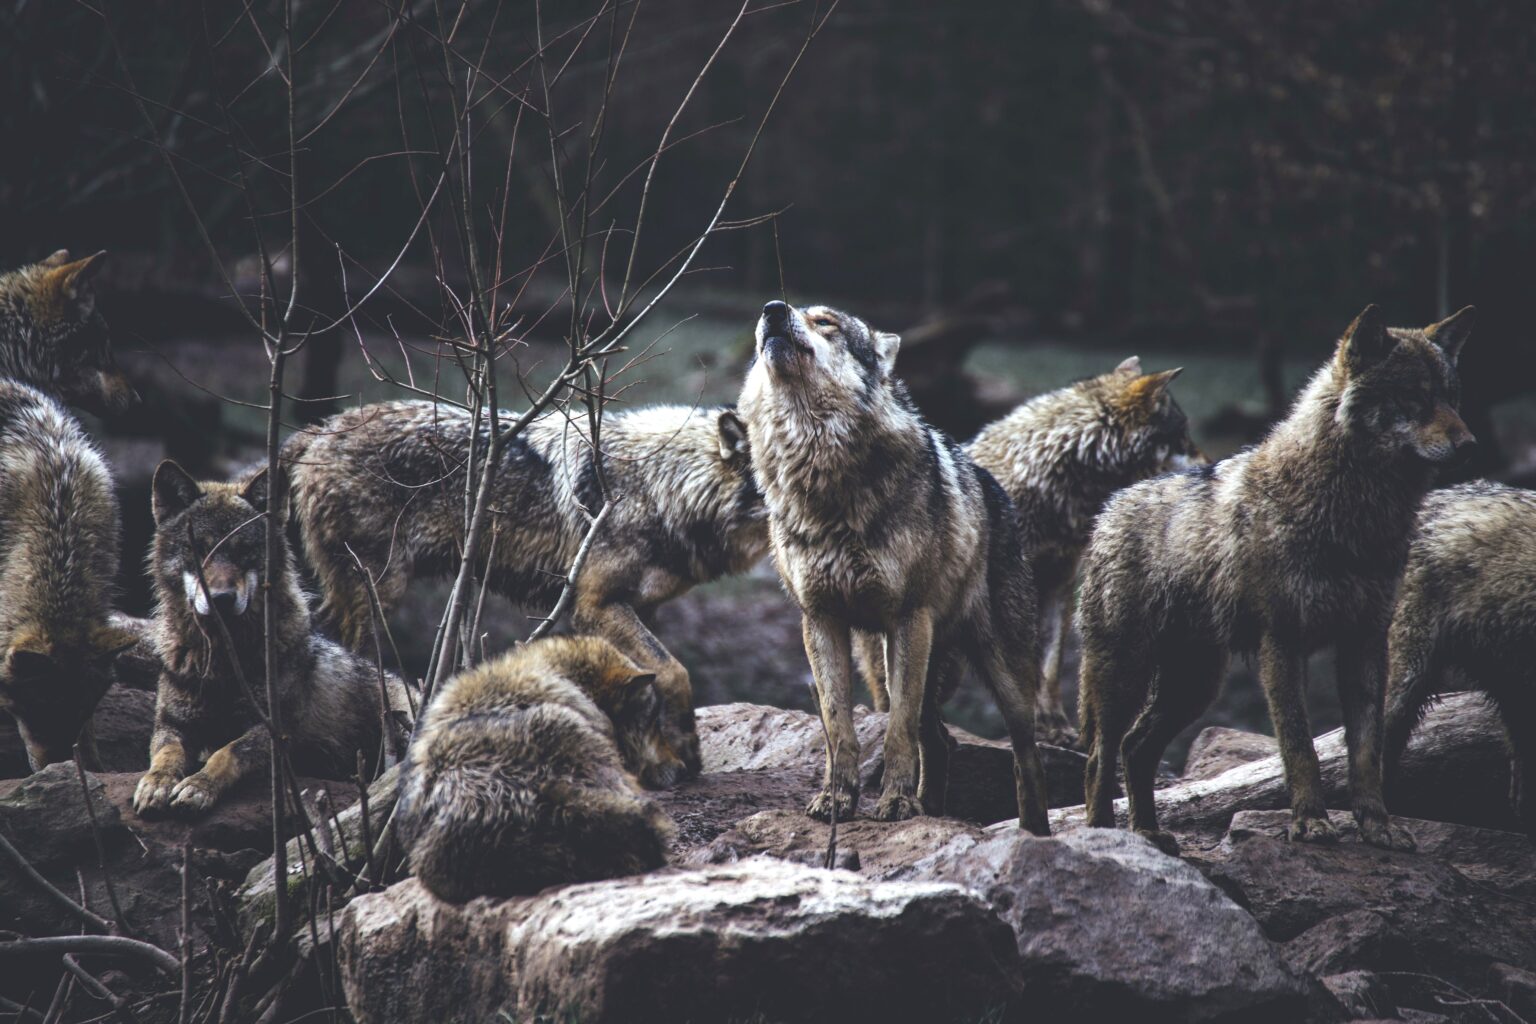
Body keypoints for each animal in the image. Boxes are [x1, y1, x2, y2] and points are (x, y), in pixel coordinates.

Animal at [133, 461, 415, 815]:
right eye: (199, 549)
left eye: (245, 550)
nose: (221, 598)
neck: (224, 662)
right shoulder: (171, 724)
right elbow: (167, 754)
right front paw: (156, 783)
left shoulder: (275, 731)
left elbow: (226, 753)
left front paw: (198, 786)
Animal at [283, 400, 768, 782]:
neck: (662, 485)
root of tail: (319, 429)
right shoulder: (595, 605)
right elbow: (675, 671)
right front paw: (686, 751)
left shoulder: (640, 609)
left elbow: (651, 681)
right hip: (377, 594)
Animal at [738, 299, 1049, 832]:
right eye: (783, 311)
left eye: (826, 322)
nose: (773, 310)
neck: (822, 475)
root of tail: (995, 487)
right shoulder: (820, 620)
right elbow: (838, 727)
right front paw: (837, 801)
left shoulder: (907, 618)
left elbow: (897, 731)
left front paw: (898, 804)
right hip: (888, 660)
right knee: (941, 741)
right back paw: (934, 810)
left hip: (998, 672)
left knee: (1024, 757)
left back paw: (1034, 833)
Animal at [1077, 305, 1475, 854]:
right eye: (1414, 397)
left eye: (1452, 398)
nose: (1469, 444)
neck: (1353, 515)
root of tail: (1110, 507)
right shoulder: (1282, 642)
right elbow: (1299, 745)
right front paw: (1310, 823)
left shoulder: (1366, 643)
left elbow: (1367, 753)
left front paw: (1378, 826)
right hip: (1127, 674)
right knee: (1102, 754)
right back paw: (1105, 836)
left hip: (1195, 685)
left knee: (1136, 747)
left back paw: (1149, 835)